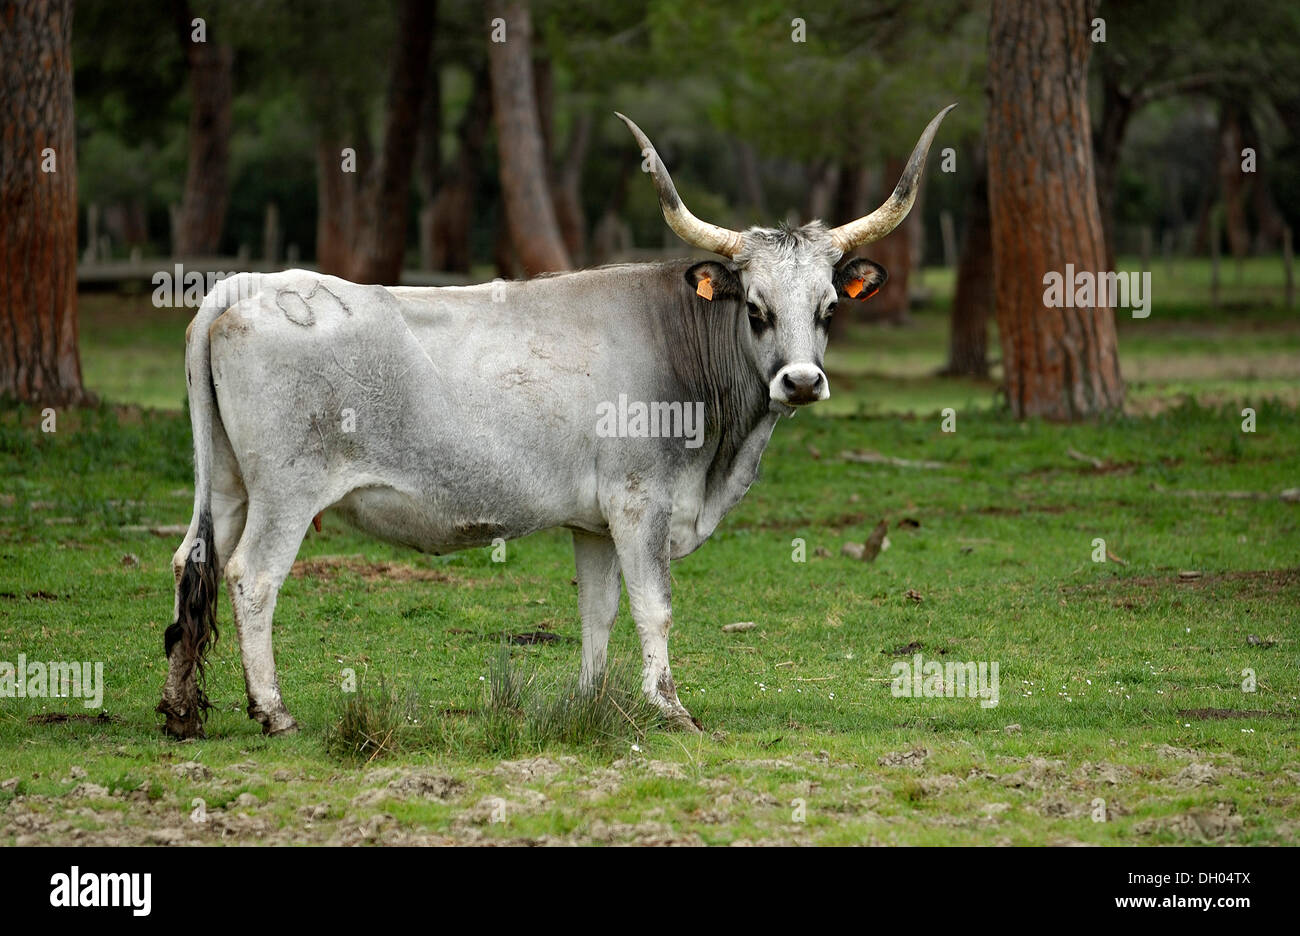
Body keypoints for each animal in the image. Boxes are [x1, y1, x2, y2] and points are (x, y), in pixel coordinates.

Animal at [159, 105, 955, 739]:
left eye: (829, 307)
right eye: (755, 309)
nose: (801, 381)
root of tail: (242, 287)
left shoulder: (594, 522)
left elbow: (597, 613)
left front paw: (590, 704)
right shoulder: (640, 505)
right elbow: (654, 607)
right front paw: (670, 708)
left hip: (226, 487)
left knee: (193, 562)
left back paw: (180, 709)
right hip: (285, 494)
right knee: (252, 576)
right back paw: (272, 711)